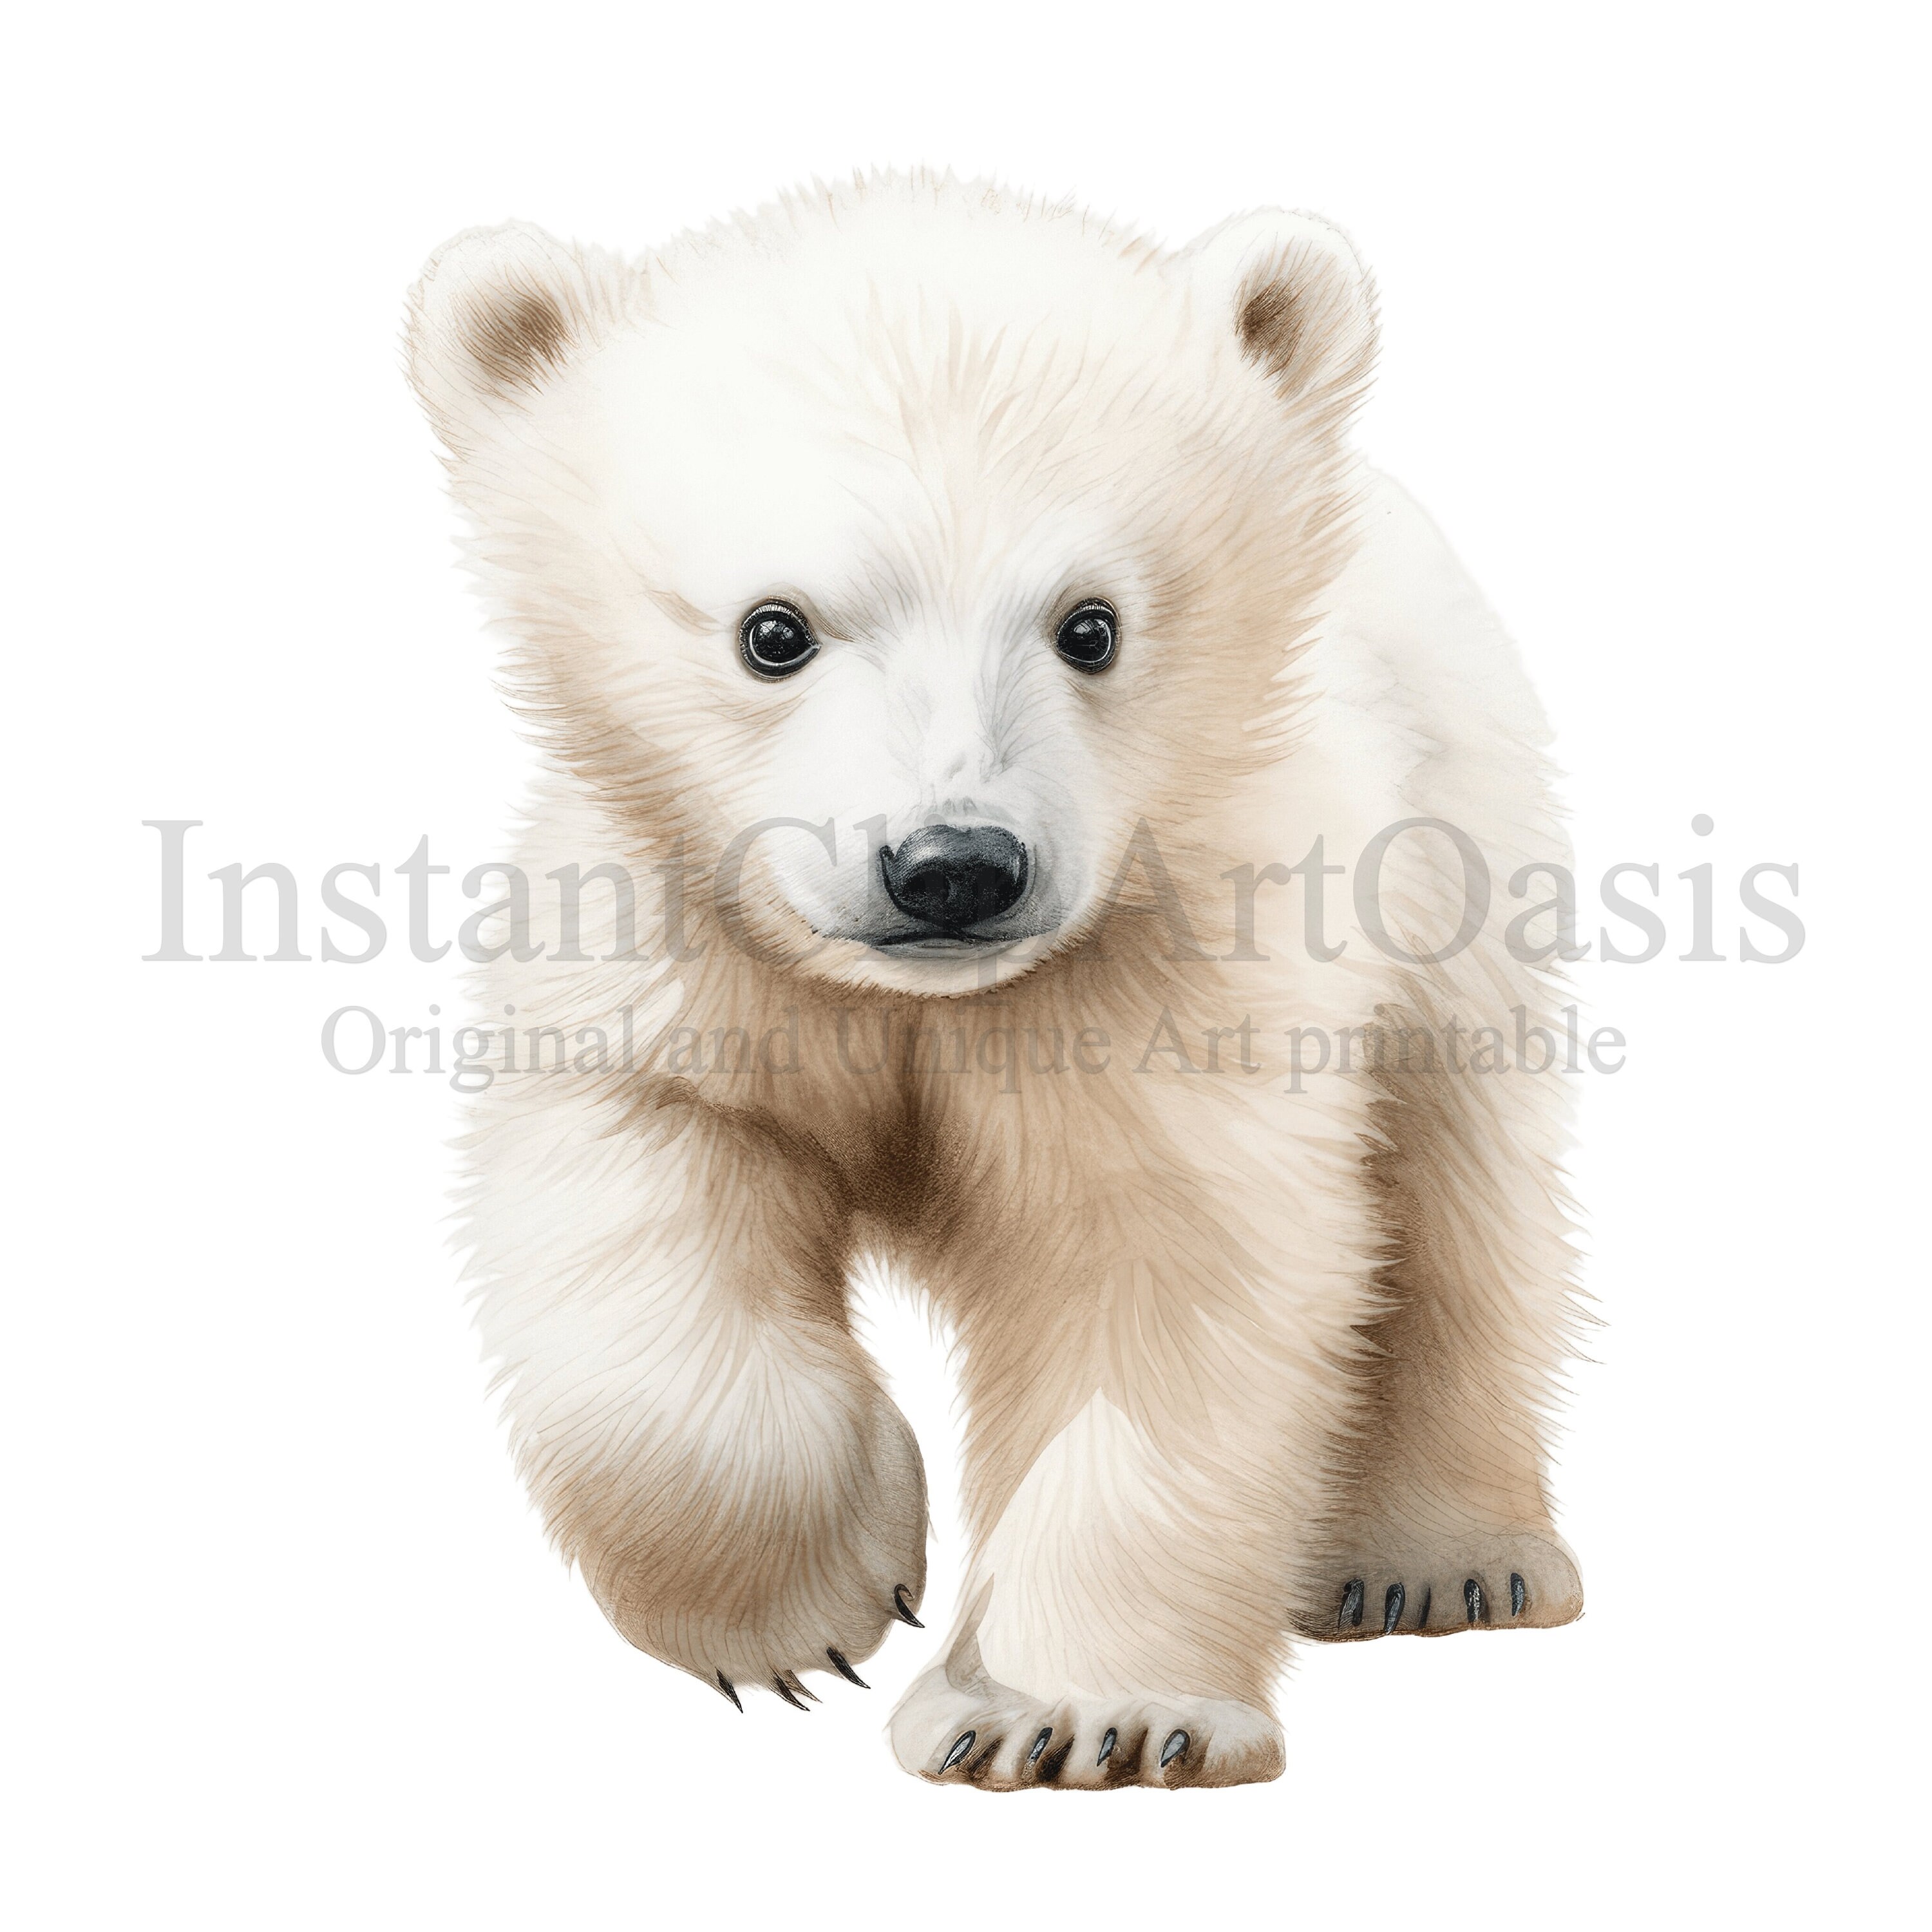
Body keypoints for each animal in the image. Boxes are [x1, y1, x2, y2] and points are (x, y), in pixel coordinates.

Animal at [405, 171, 1584, 1790]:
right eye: (773, 629)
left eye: (1090, 623)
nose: (951, 867)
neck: (936, 1004)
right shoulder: (683, 948)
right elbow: (639, 1185)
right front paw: (815, 1592)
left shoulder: (1181, 965)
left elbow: (1157, 1273)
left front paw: (1076, 1713)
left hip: (1452, 840)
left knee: (1457, 1188)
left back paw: (1440, 1559)